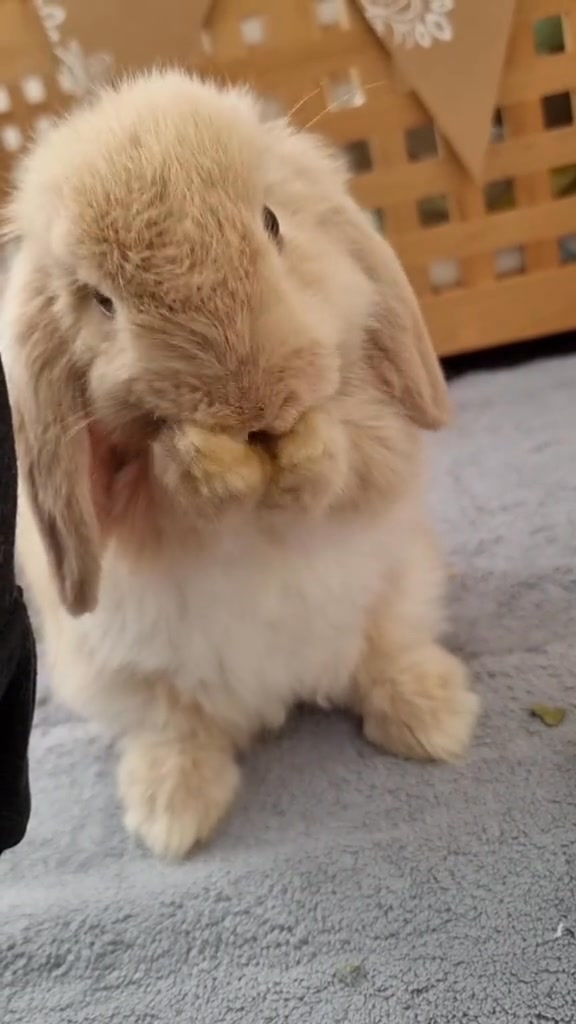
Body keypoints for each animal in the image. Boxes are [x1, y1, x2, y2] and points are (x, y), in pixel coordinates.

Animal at [1, 70, 479, 859]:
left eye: (274, 222)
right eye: (102, 302)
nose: (253, 405)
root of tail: (280, 694)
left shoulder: (376, 433)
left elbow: (351, 453)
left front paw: (307, 447)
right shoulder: (135, 509)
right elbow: (172, 492)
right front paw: (208, 462)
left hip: (404, 591)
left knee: (384, 660)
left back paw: (436, 722)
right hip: (117, 680)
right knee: (181, 729)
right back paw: (172, 815)